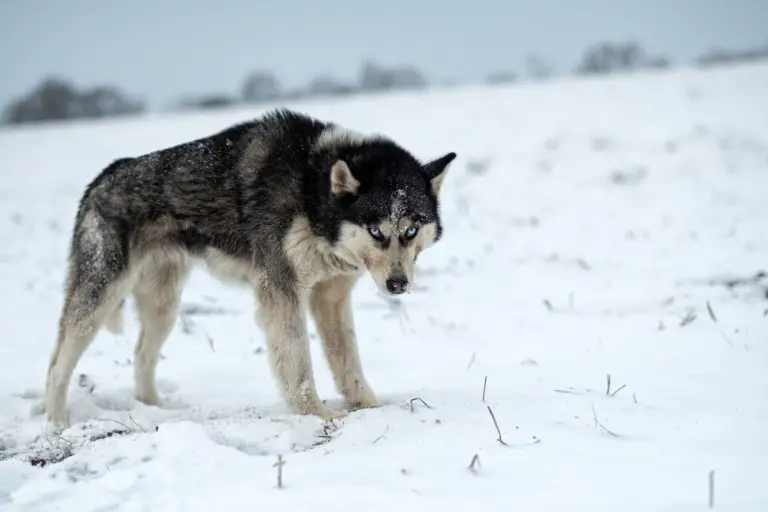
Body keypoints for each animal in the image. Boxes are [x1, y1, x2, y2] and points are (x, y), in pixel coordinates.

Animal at [40, 108, 456, 429]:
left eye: (411, 230)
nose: (398, 285)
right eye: (376, 231)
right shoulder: (281, 292)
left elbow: (347, 361)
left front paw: (369, 409)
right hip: (98, 298)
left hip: (163, 307)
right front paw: (317, 417)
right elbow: (299, 366)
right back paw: (56, 424)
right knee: (58, 362)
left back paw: (154, 410)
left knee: (142, 355)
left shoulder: (331, 296)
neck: (312, 190)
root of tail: (101, 179)